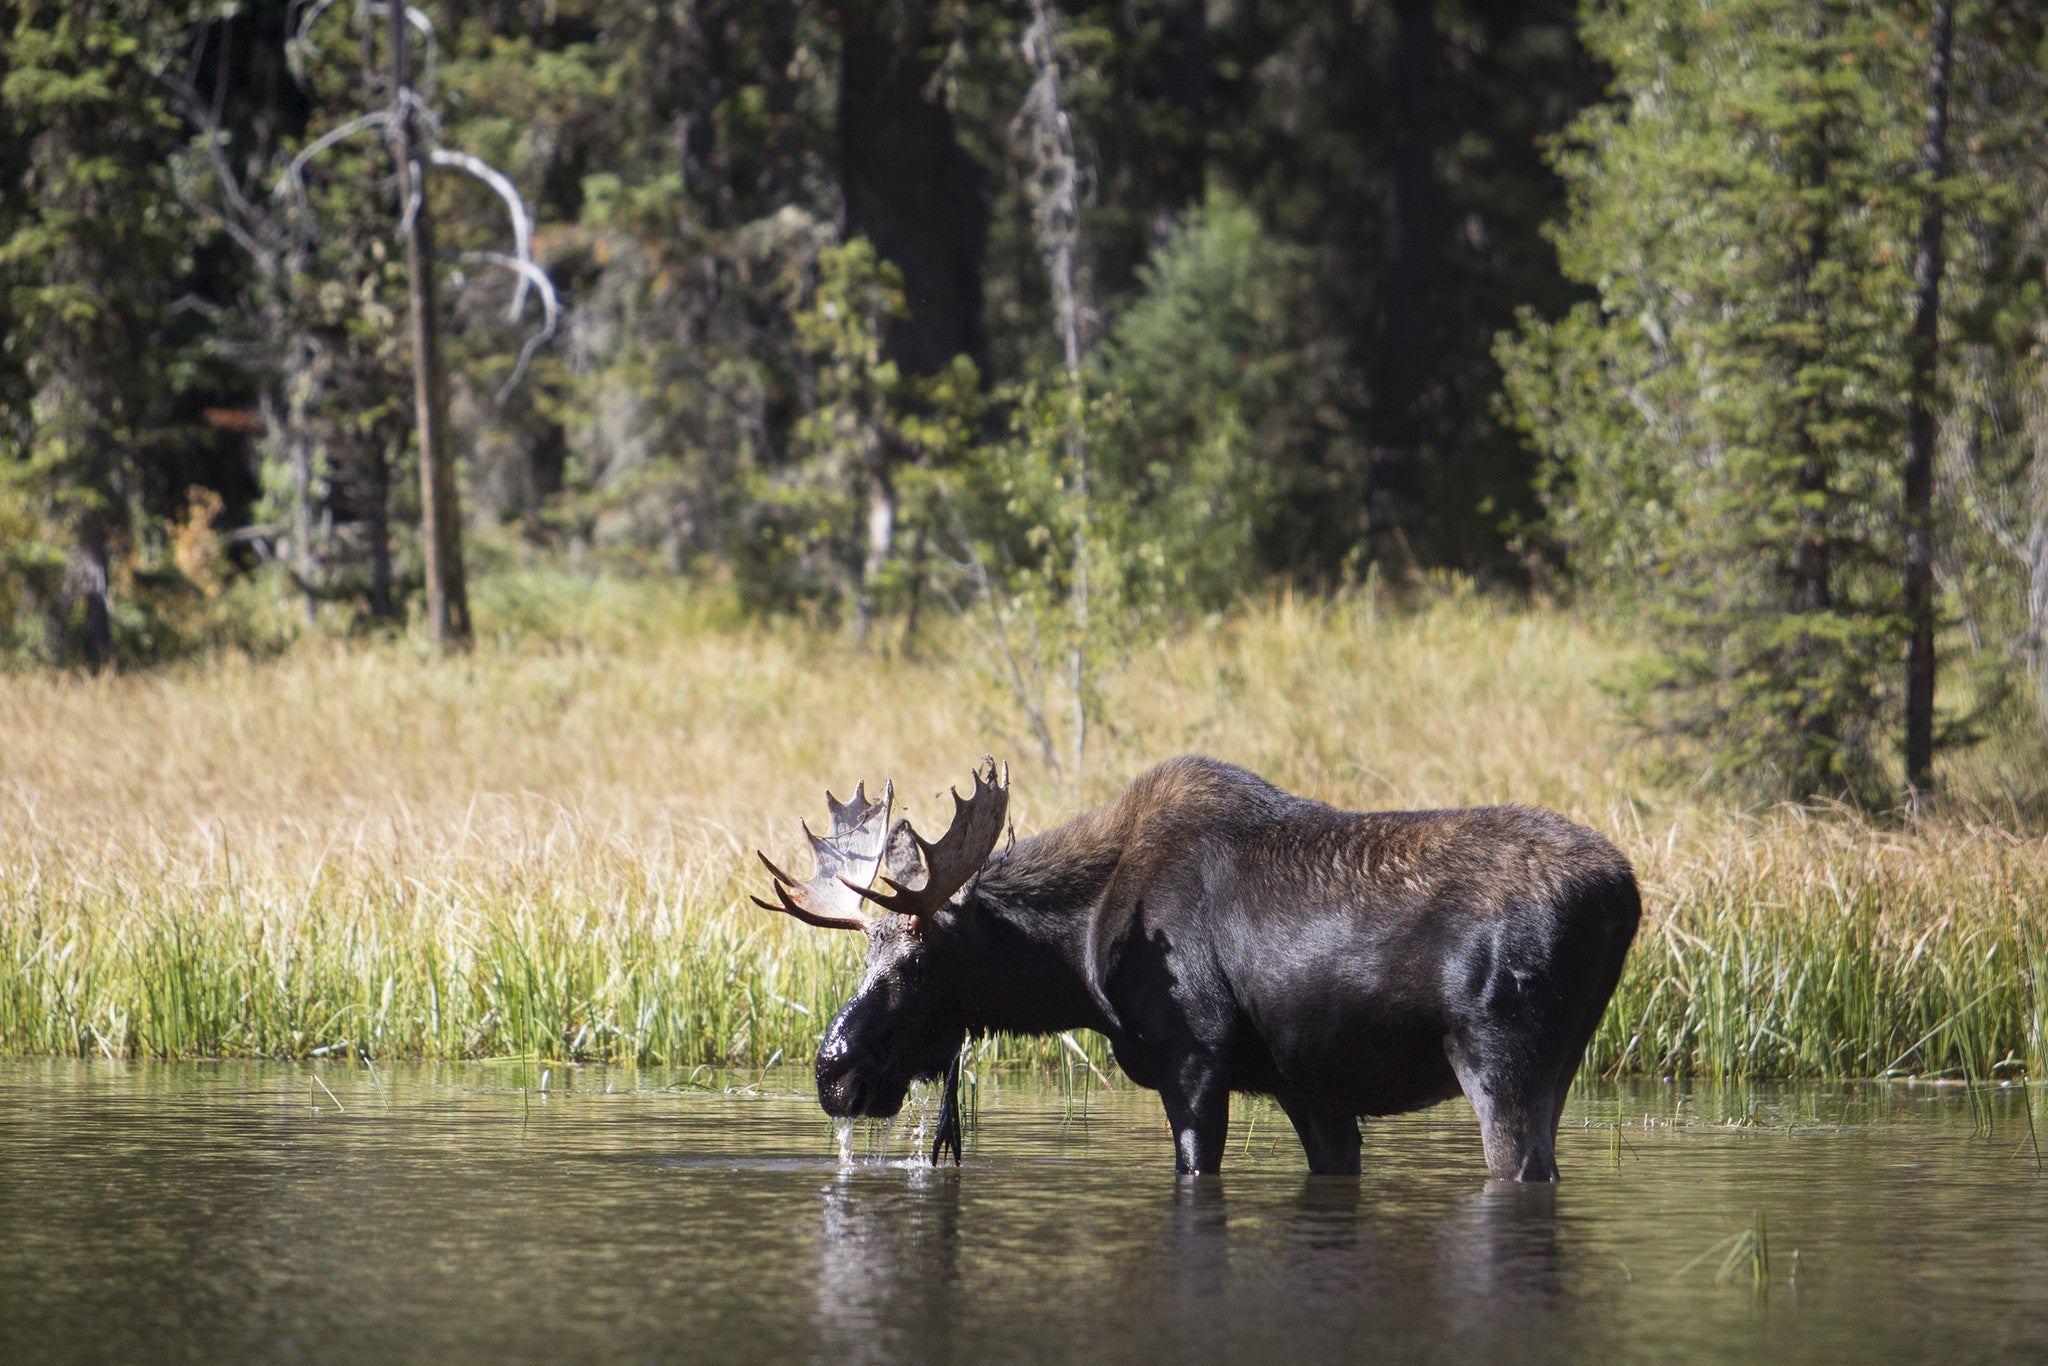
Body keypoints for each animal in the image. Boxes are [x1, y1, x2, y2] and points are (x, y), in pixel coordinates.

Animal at [754, 755, 1640, 1180]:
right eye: (864, 949)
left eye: (922, 957)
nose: (833, 1069)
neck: (1077, 958)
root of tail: (1625, 894)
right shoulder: (1308, 1088)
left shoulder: (1195, 1057)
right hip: (1555, 1066)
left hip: (1500, 1061)